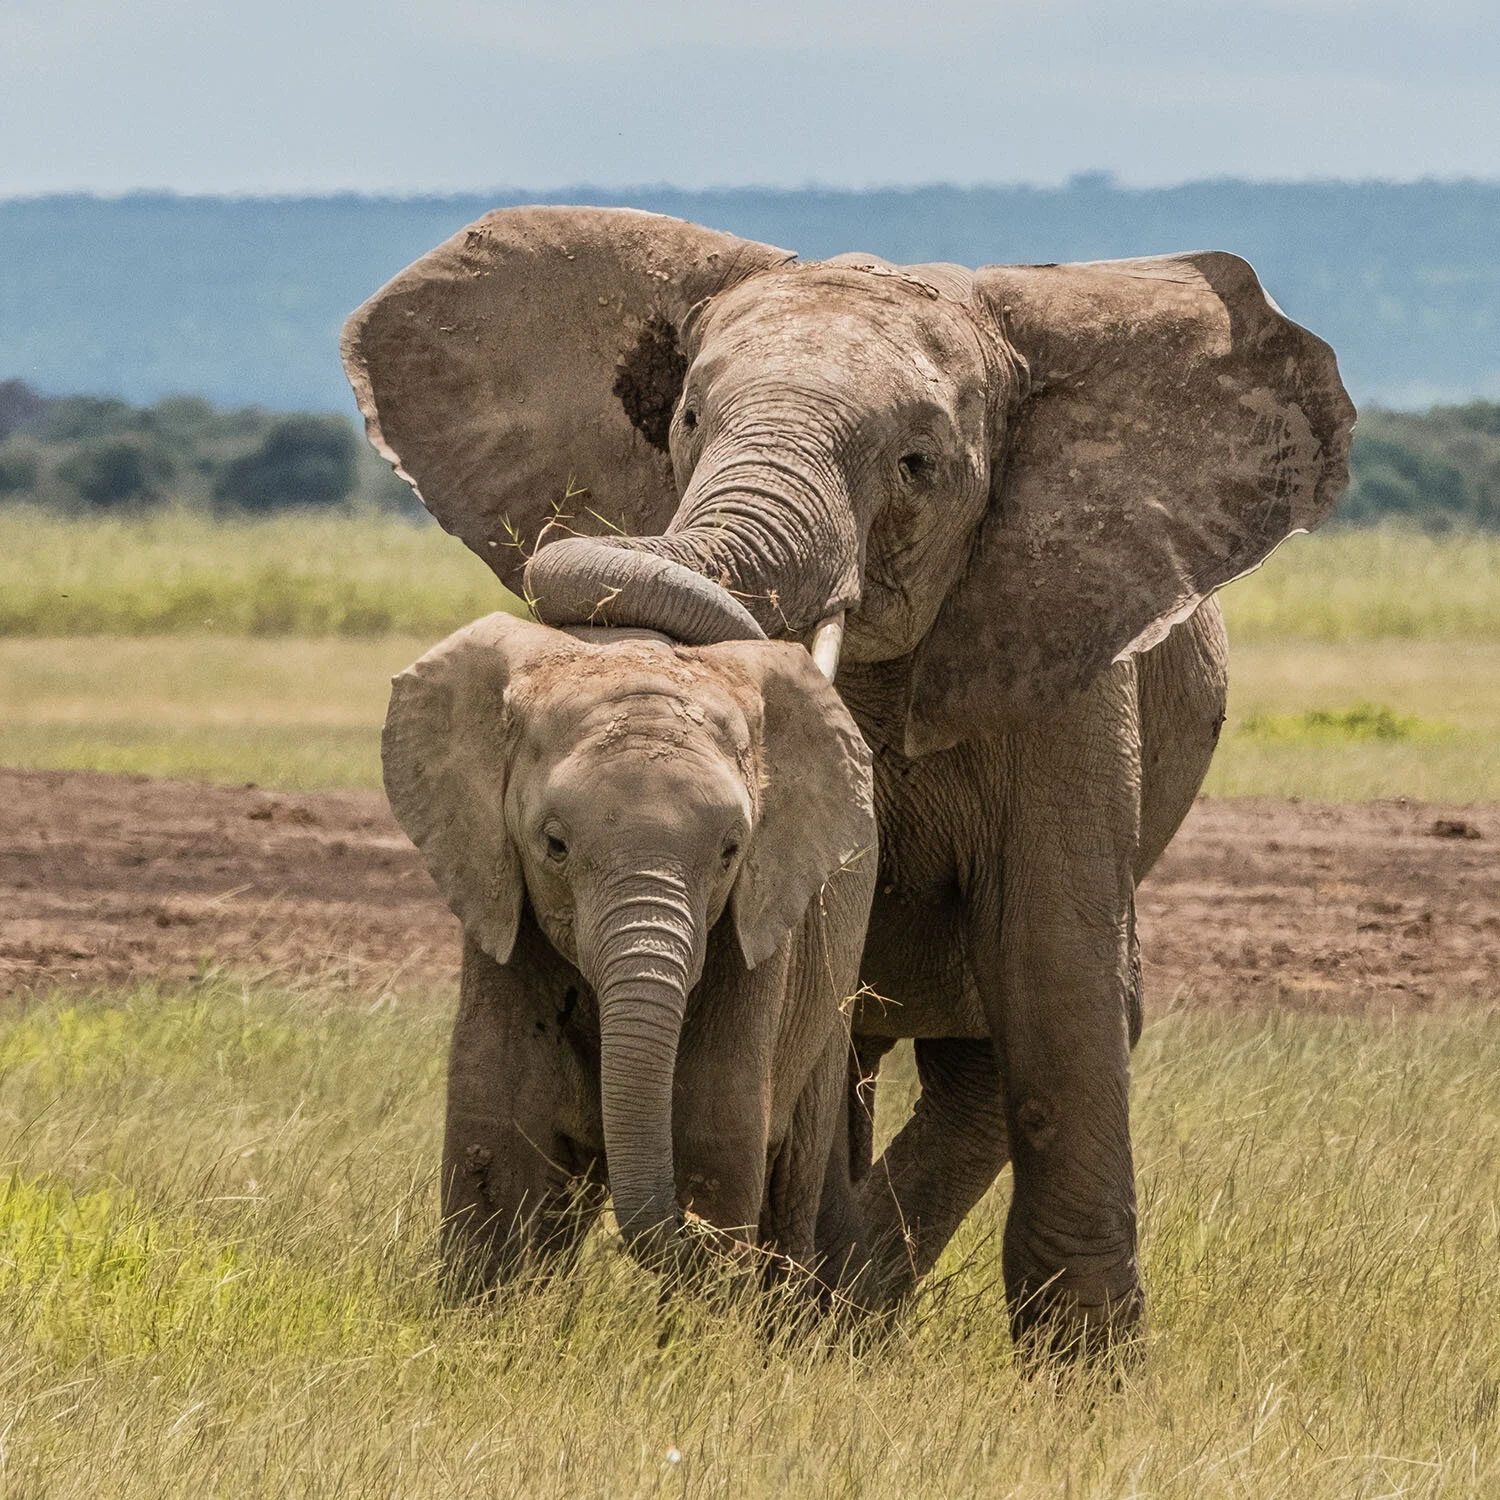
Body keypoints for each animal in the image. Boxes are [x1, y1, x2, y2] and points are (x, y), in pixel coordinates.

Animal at [380, 611, 877, 1289]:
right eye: (554, 845)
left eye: (731, 851)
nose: (690, 1237)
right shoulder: (499, 913)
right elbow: (495, 1135)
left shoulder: (758, 942)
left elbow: (716, 1139)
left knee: (791, 1182)